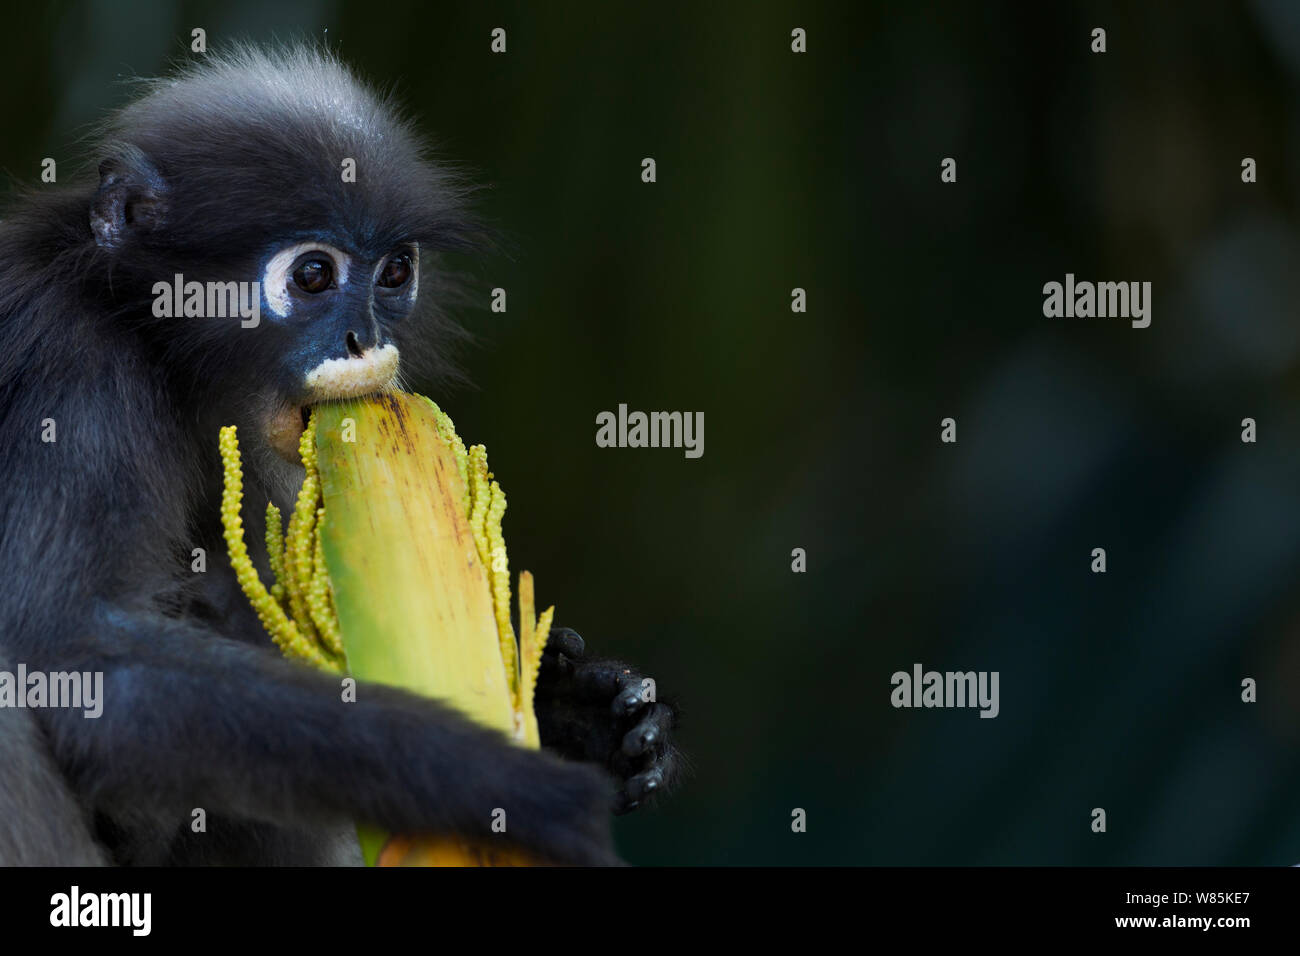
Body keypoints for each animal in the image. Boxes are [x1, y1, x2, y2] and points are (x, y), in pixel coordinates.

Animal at [0, 45, 679, 866]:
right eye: (313, 274)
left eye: (395, 272)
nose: (367, 340)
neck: (151, 345)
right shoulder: (77, 374)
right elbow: (71, 655)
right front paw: (501, 780)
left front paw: (587, 714)